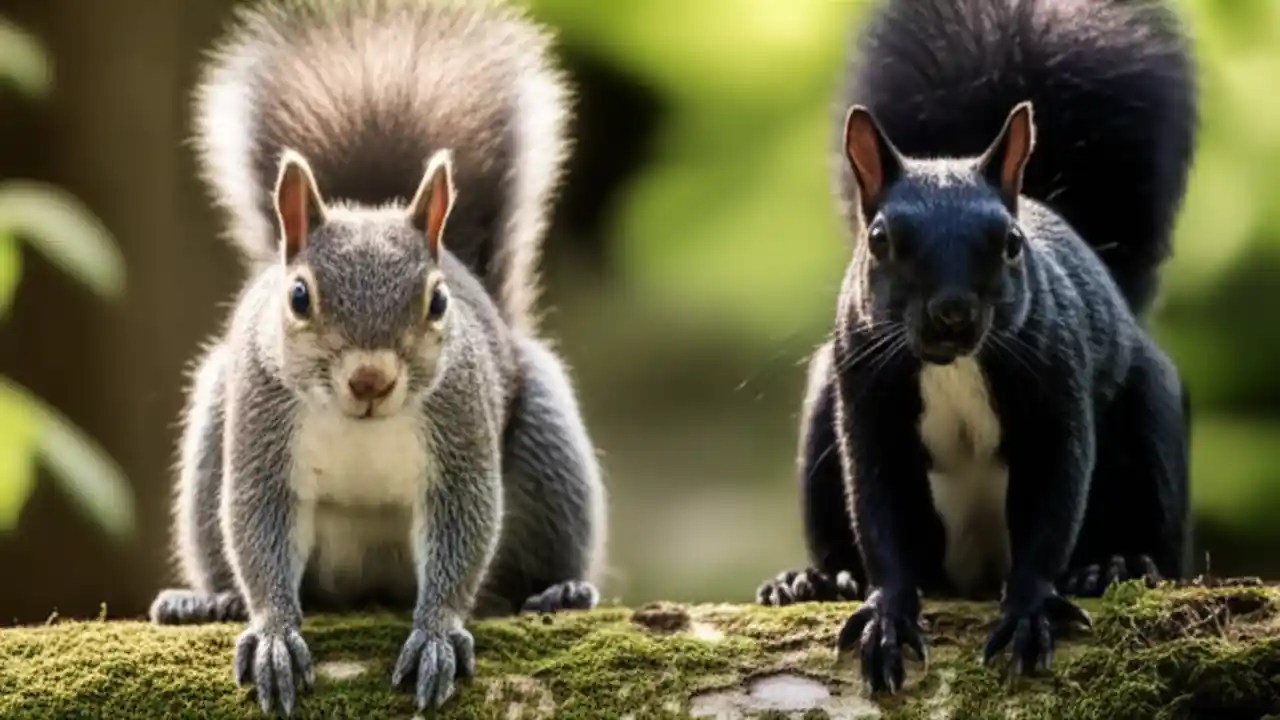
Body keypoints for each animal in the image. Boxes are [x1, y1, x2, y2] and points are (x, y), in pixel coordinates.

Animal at [147, 0, 607, 715]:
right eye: (299, 296)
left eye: (438, 301)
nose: (371, 380)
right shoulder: (261, 425)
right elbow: (257, 523)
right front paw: (274, 634)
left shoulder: (460, 434)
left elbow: (463, 525)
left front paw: (437, 634)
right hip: (212, 437)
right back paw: (209, 601)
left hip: (549, 448)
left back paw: (560, 591)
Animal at [756, 0, 1196, 691]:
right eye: (879, 240)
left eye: (1012, 242)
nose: (953, 314)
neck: (954, 367)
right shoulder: (866, 401)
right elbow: (879, 512)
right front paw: (887, 614)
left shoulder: (1057, 387)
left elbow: (1051, 507)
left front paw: (1030, 609)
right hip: (821, 423)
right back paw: (813, 580)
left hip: (1150, 426)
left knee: (1157, 543)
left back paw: (1116, 565)